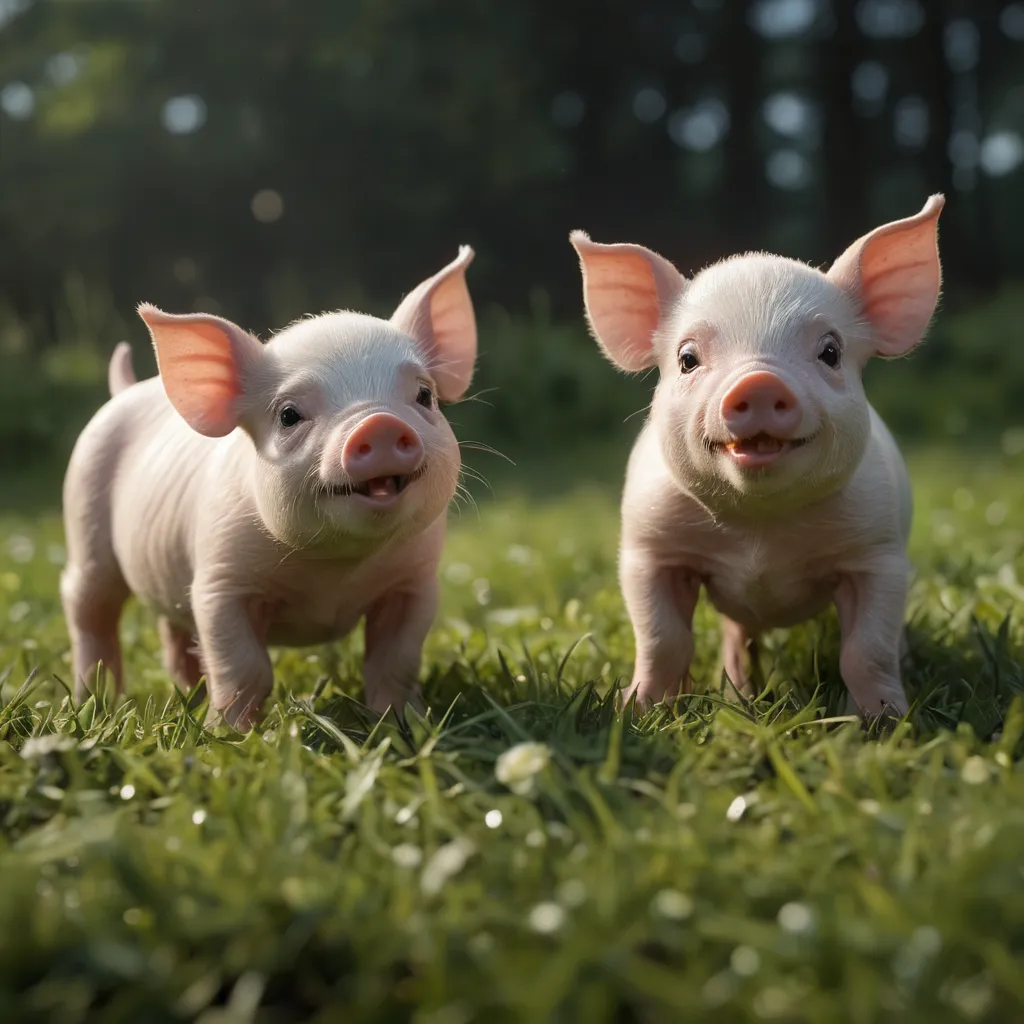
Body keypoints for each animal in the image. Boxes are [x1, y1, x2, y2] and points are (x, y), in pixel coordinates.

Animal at [61, 247, 477, 730]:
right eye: (289, 415)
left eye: (424, 396)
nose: (380, 423)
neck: (335, 571)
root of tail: (122, 390)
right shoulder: (219, 582)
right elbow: (244, 667)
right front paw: (228, 733)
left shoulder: (416, 582)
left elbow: (396, 660)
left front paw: (401, 724)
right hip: (84, 516)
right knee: (90, 611)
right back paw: (95, 704)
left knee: (172, 633)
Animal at [570, 196, 945, 719]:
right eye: (687, 358)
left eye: (831, 352)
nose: (760, 381)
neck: (760, 536)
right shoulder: (650, 549)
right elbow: (663, 640)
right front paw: (638, 711)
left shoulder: (878, 553)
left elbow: (866, 648)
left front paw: (884, 720)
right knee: (737, 635)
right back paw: (739, 695)